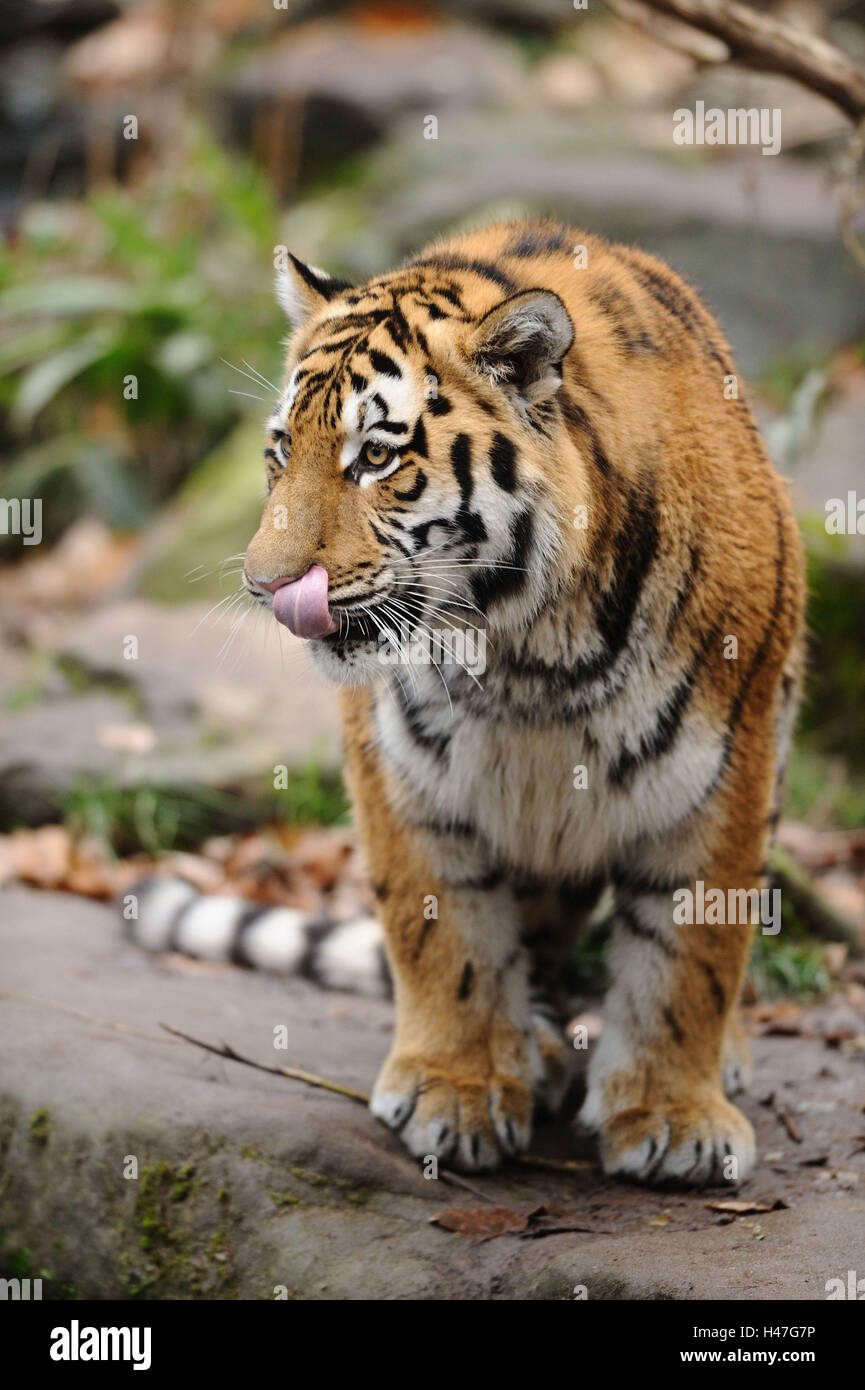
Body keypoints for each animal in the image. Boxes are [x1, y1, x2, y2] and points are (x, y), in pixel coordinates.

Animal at [131, 218, 806, 1186]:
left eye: (376, 456)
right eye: (279, 450)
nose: (264, 587)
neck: (532, 653)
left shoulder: (724, 768)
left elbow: (691, 953)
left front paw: (671, 1115)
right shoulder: (401, 766)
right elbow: (440, 930)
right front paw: (454, 1090)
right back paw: (535, 1047)